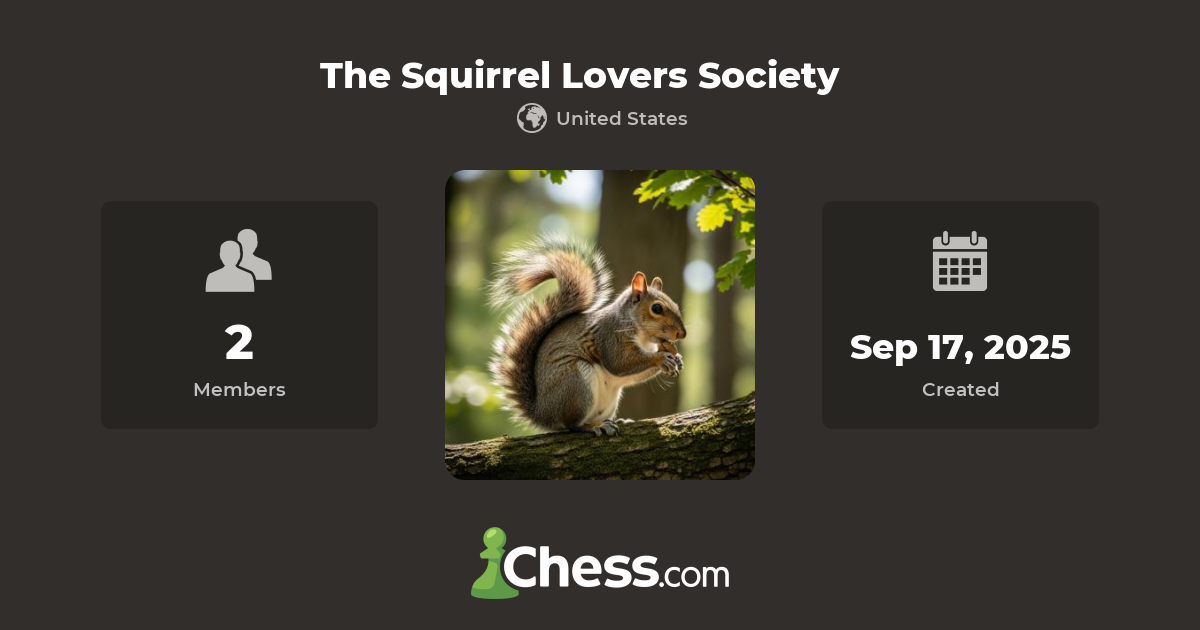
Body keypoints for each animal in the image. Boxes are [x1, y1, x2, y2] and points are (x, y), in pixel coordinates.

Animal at [488, 238, 687, 436]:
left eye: (676, 305)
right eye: (657, 308)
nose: (682, 334)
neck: (643, 337)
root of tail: (542, 413)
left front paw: (677, 359)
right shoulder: (610, 336)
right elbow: (620, 363)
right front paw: (661, 359)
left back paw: (616, 421)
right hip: (575, 383)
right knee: (572, 425)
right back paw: (596, 426)